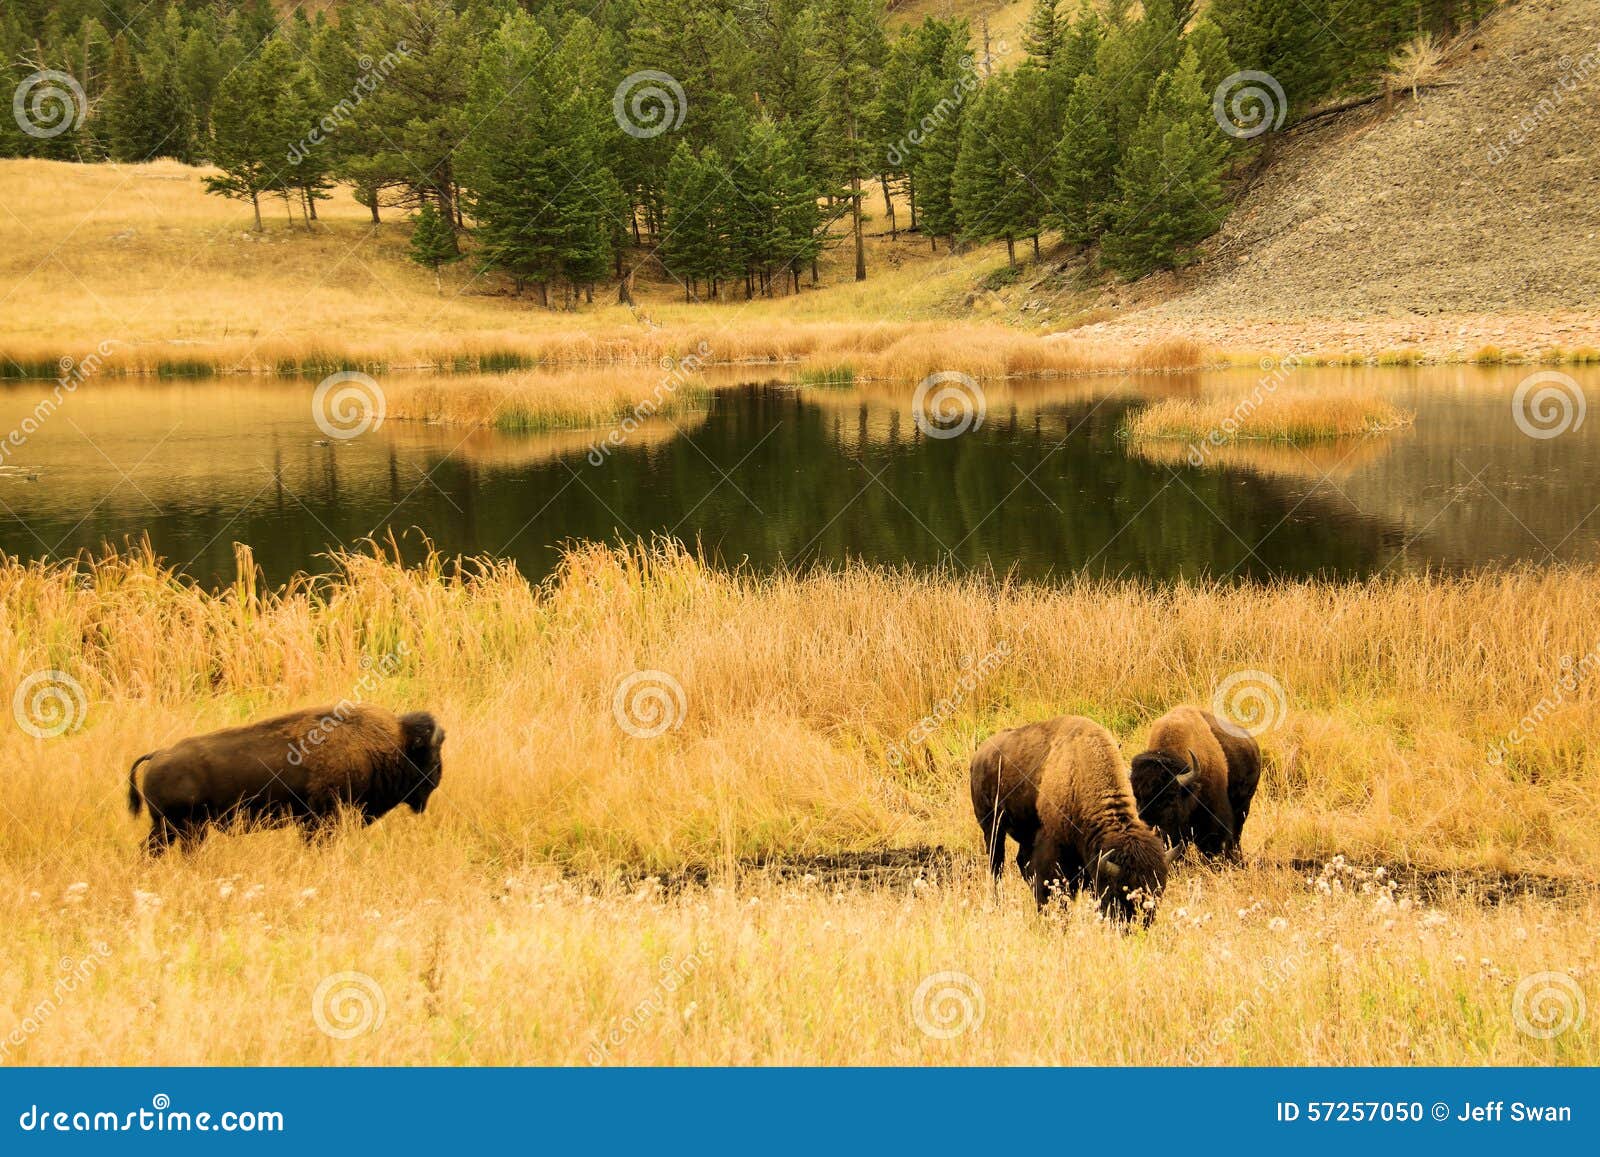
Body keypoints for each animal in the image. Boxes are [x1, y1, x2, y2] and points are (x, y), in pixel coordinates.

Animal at [127, 705, 444, 854]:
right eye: (430, 756)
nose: (437, 777)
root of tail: (157, 755)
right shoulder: (322, 819)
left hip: (168, 829)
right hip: (186, 829)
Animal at [1128, 705, 1261, 860]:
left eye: (1171, 797)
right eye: (1137, 796)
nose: (1151, 823)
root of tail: (1252, 743)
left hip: (1244, 807)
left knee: (1236, 834)